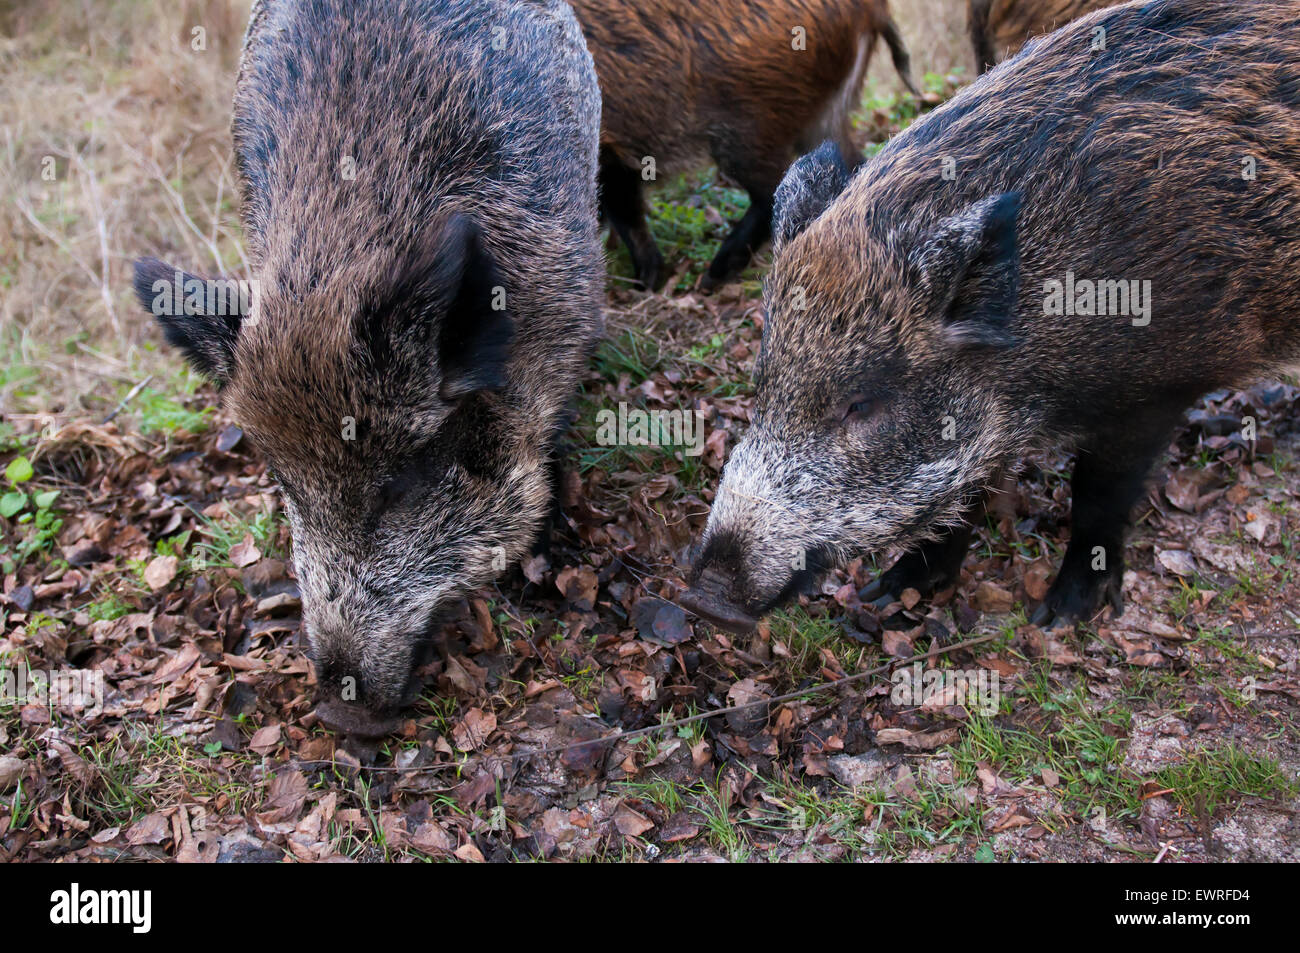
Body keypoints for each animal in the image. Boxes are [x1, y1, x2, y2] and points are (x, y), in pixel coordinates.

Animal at [569, 0, 919, 292]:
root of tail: (871, 9)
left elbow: (622, 209)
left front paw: (646, 284)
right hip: (823, 116)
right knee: (855, 165)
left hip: (749, 126)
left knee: (774, 191)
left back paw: (712, 278)